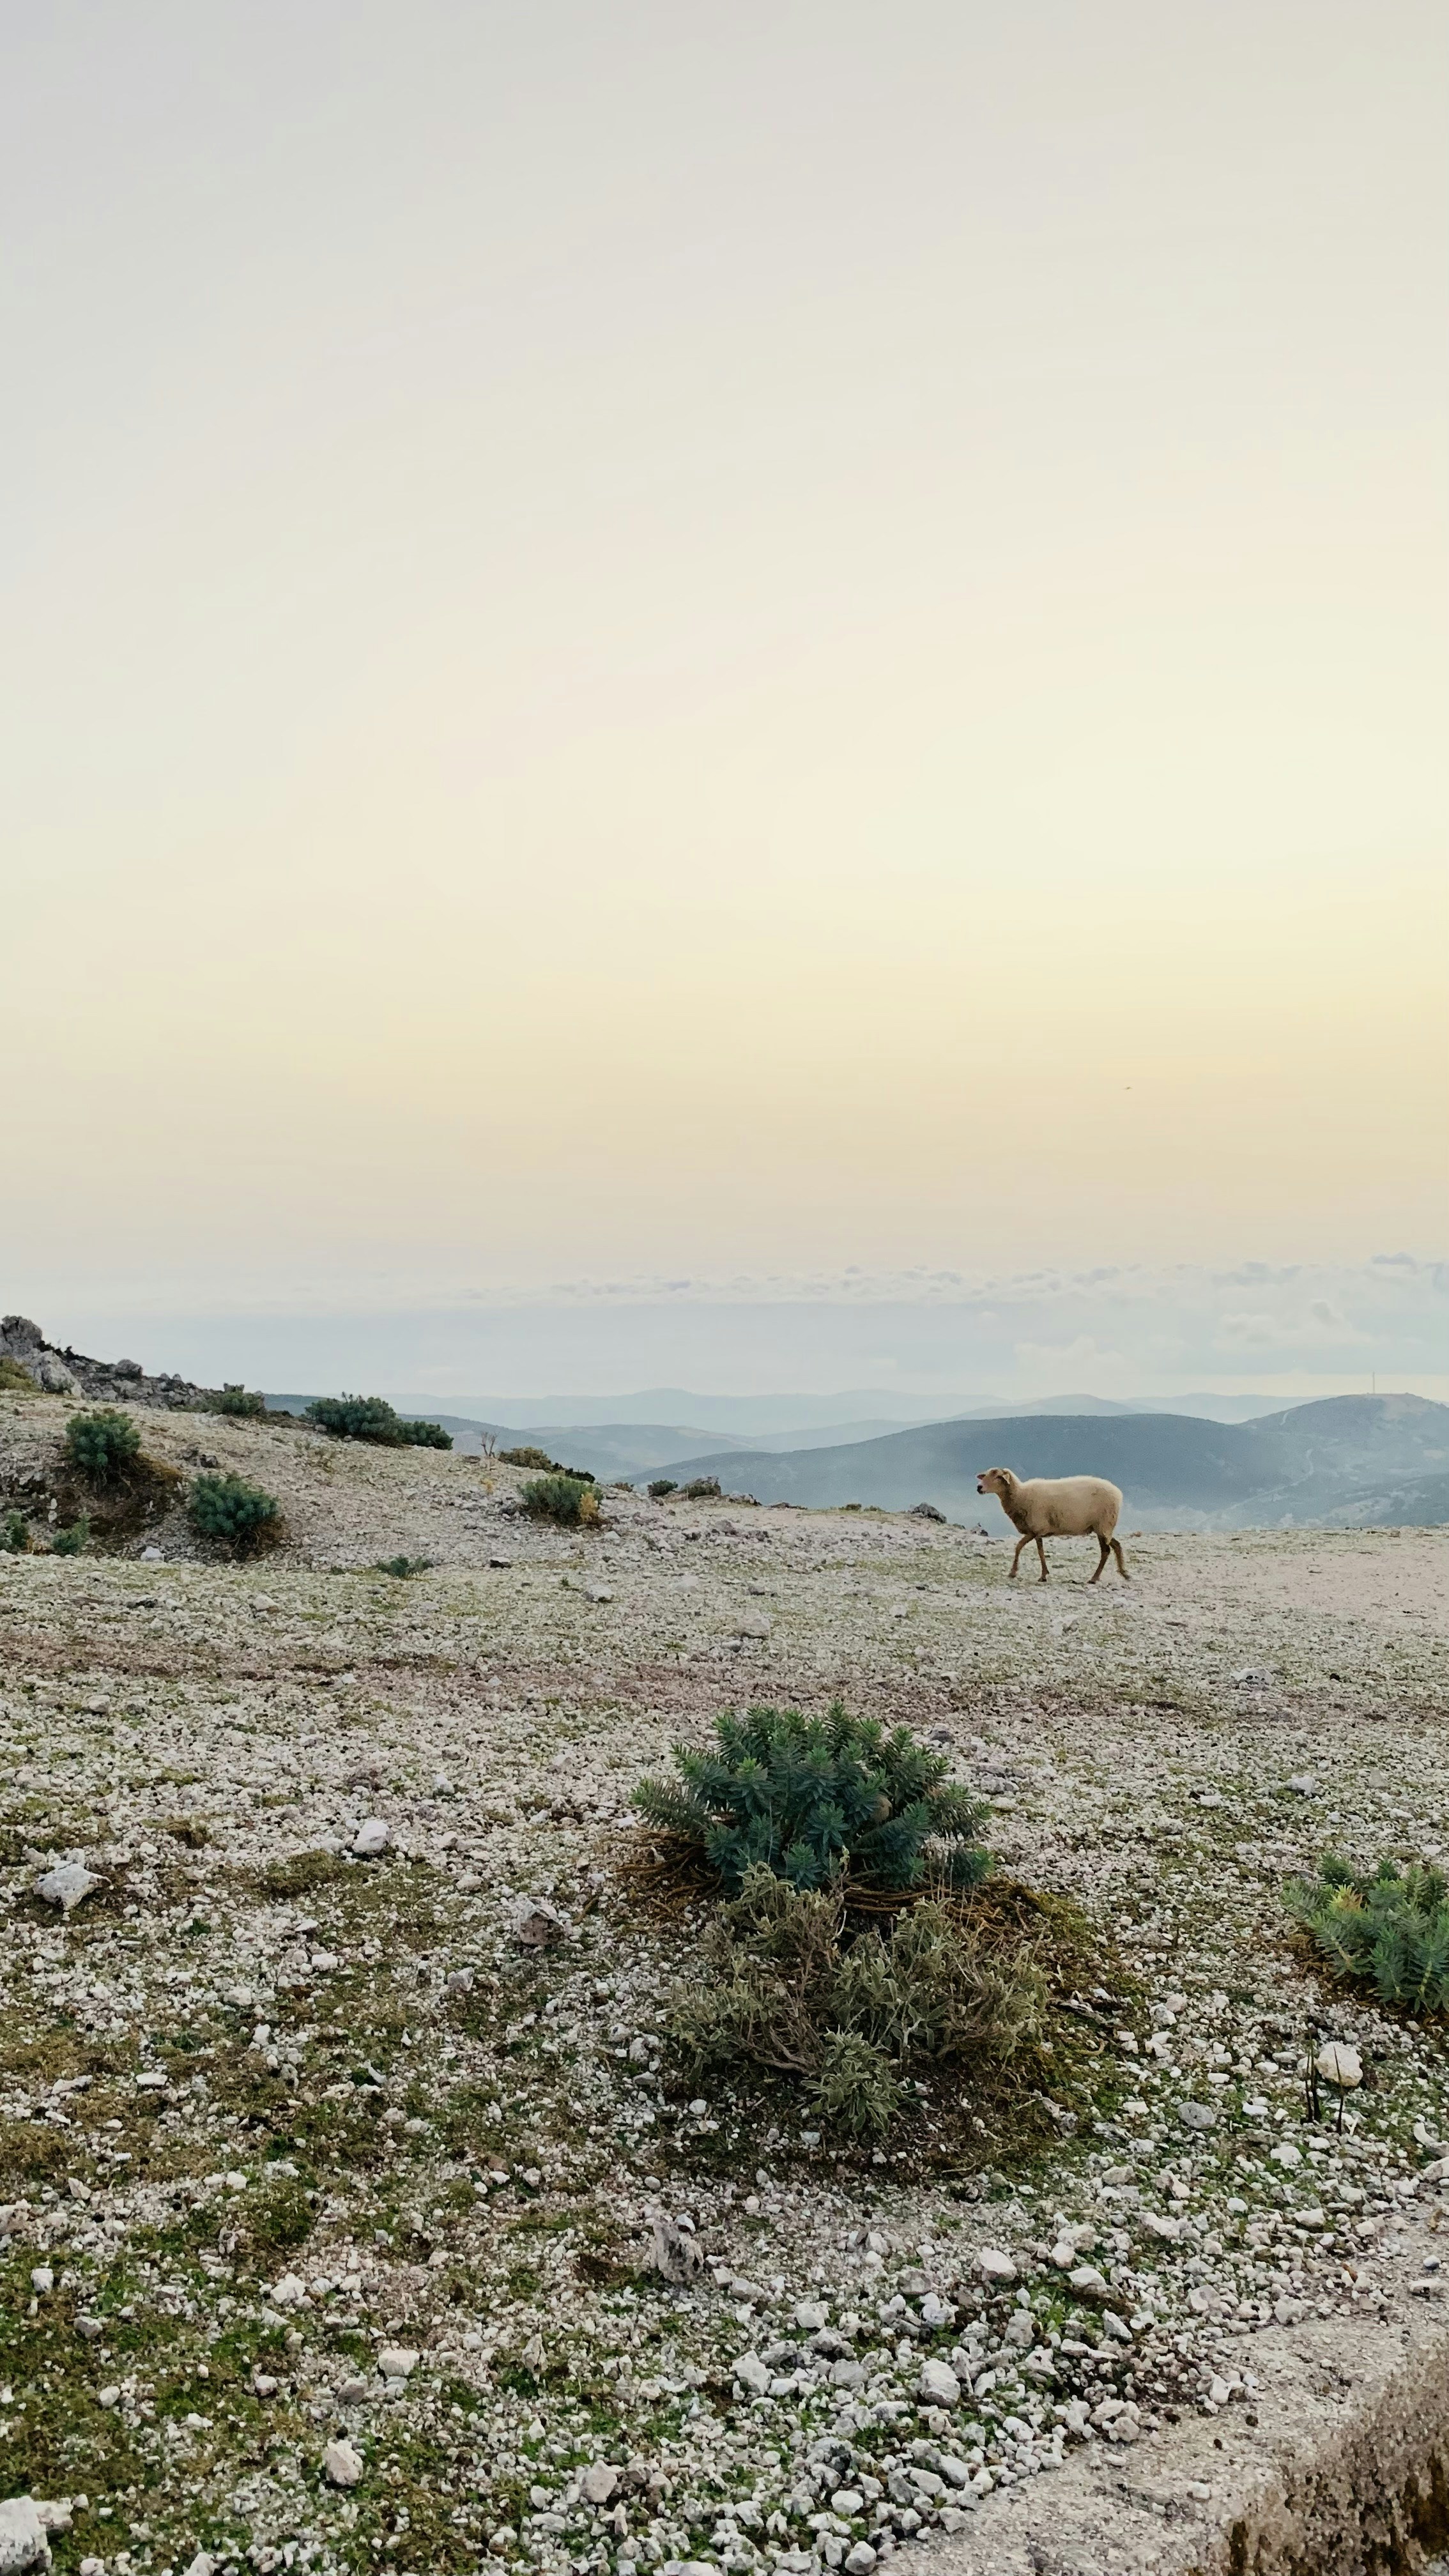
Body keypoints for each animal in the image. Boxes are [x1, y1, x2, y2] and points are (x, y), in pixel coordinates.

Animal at [976, 1466, 1129, 1584]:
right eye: (986, 1475)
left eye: (998, 1477)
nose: (979, 1487)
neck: (1020, 1495)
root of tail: (1118, 1493)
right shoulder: (1037, 1531)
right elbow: (1040, 1551)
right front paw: (1044, 1575)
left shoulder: (1036, 1528)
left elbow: (1020, 1547)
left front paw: (1014, 1573)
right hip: (1103, 1527)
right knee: (1116, 1545)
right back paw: (1124, 1573)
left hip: (1104, 1524)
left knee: (1106, 1551)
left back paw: (1094, 1578)